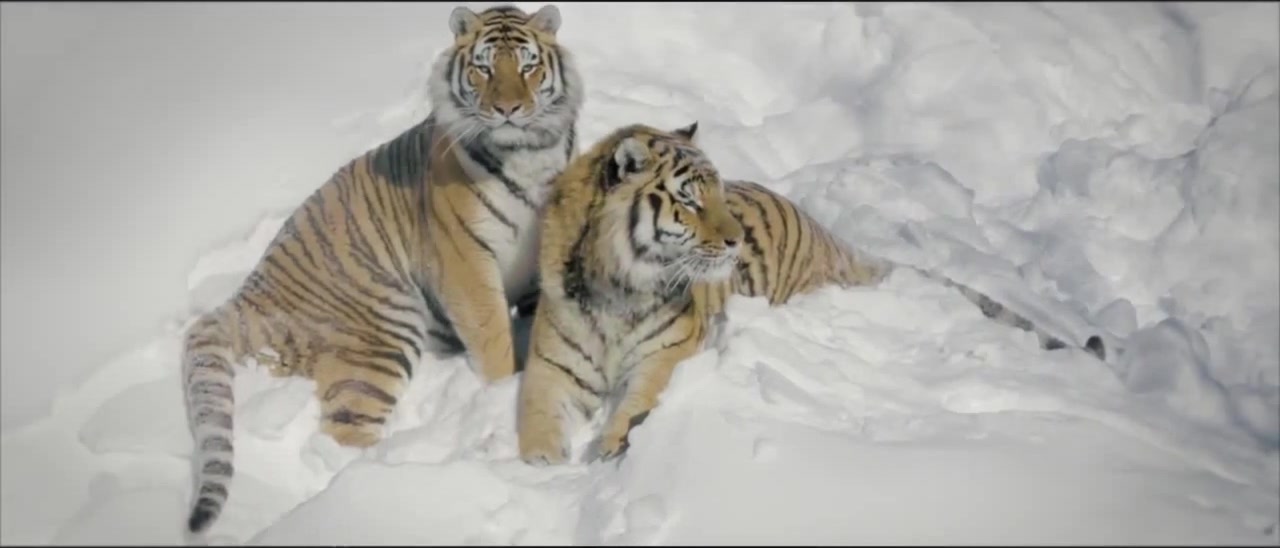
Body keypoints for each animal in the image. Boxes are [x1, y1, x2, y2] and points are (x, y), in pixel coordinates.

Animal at [180, 4, 584, 534]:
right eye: (483, 69)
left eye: (528, 66)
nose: (508, 110)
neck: (529, 154)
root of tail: (247, 297)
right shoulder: (465, 263)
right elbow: (493, 337)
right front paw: (503, 393)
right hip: (383, 334)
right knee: (342, 437)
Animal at [515, 122, 1107, 465]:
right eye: (689, 200)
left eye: (719, 194)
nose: (734, 239)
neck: (618, 285)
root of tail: (825, 233)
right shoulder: (553, 363)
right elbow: (537, 415)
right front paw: (542, 460)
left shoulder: (668, 354)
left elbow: (640, 399)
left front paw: (611, 444)